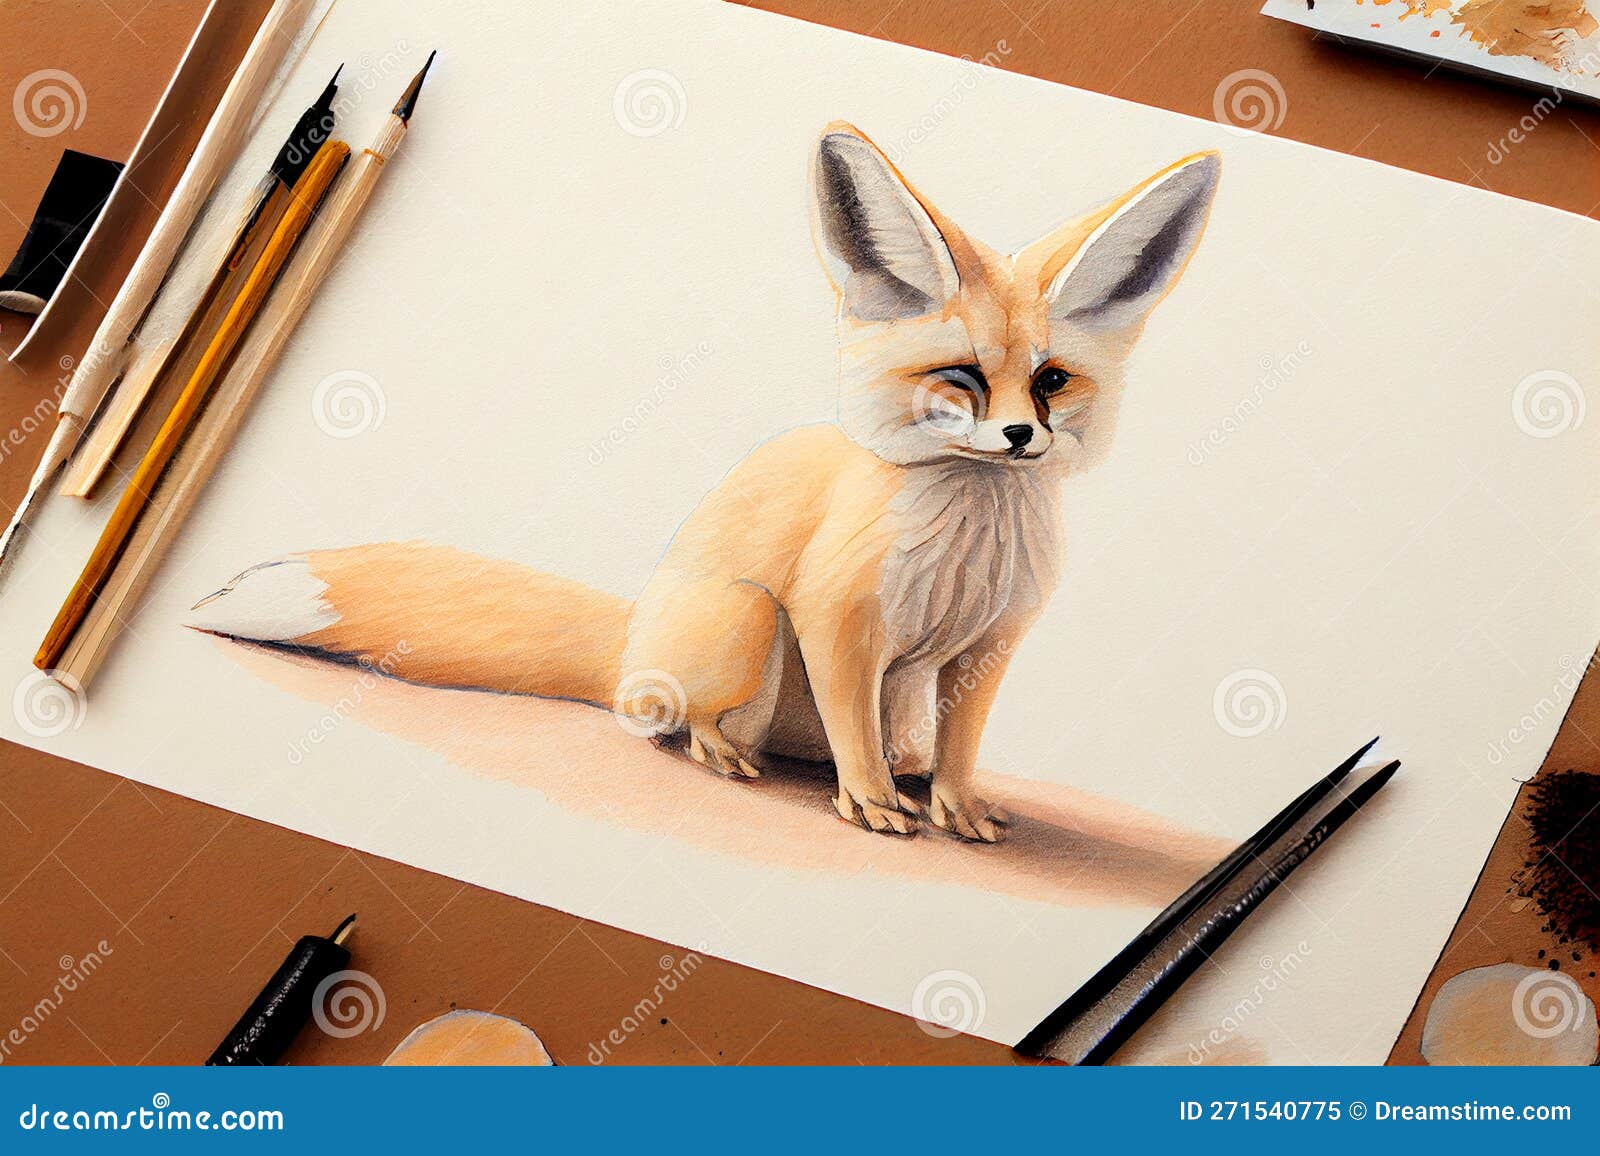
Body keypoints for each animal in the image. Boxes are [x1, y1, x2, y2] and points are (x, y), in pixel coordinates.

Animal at [187, 123, 1221, 842]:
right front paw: (870, 804)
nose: (1017, 438)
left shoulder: (989, 647)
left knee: (877, 740)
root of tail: (634, 632)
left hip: (882, 684)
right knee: (655, 721)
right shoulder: (835, 617)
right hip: (747, 619)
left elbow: (961, 750)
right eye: (962, 377)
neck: (970, 540)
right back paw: (731, 751)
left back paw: (902, 777)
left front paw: (952, 805)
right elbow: (852, 735)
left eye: (1051, 383)